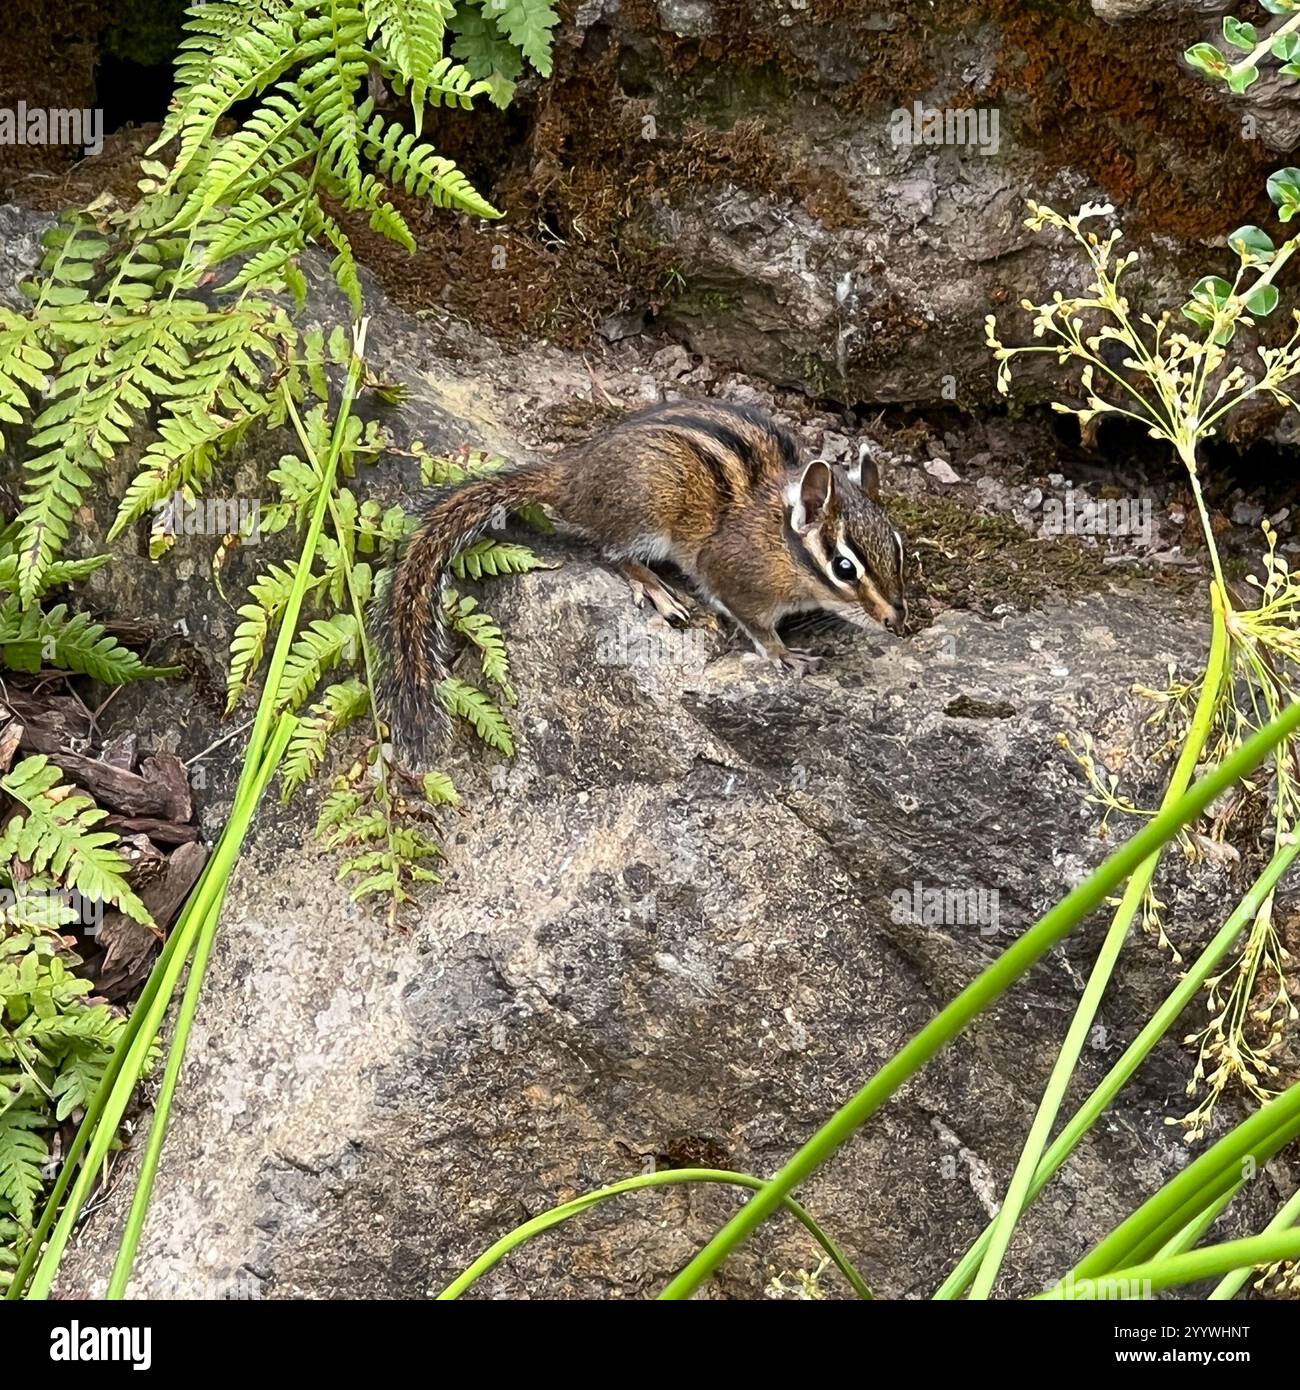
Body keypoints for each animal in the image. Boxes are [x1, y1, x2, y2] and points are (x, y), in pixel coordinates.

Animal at [377, 399, 908, 764]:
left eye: (900, 547)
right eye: (844, 568)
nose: (897, 620)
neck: (779, 540)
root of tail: (573, 475)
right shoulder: (734, 576)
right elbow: (752, 621)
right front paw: (784, 653)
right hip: (650, 508)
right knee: (609, 552)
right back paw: (655, 588)